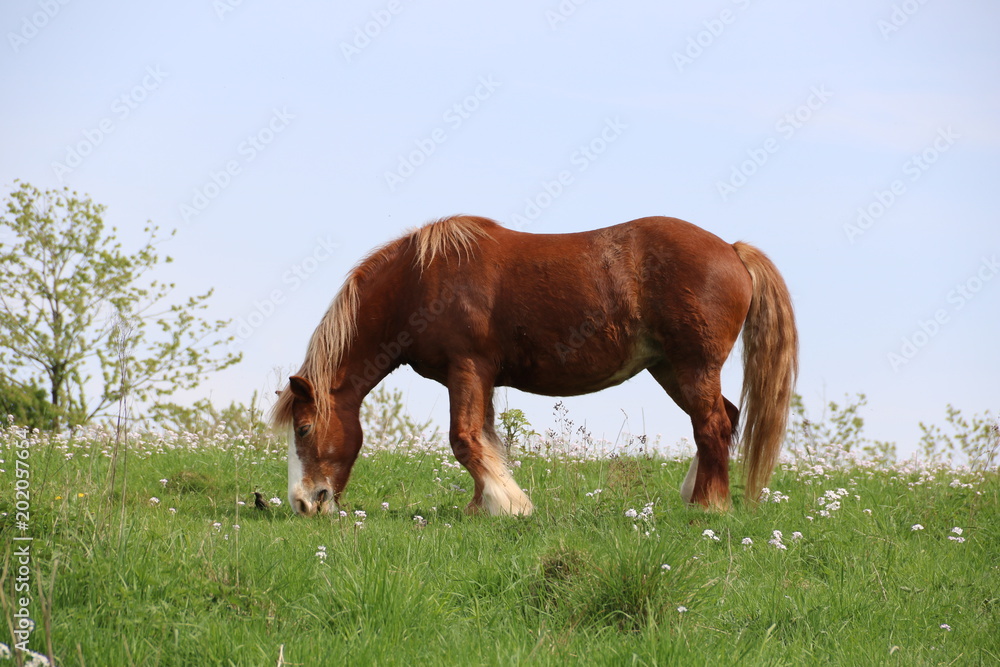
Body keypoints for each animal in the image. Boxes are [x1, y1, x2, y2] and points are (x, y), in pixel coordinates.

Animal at [271, 215, 797, 516]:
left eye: (303, 428)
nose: (302, 502)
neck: (419, 282)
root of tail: (731, 250)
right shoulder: (478, 378)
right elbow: (483, 438)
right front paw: (481, 506)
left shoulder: (466, 368)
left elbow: (465, 440)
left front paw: (510, 505)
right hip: (669, 368)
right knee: (724, 419)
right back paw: (694, 496)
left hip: (692, 366)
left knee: (712, 426)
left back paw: (709, 508)